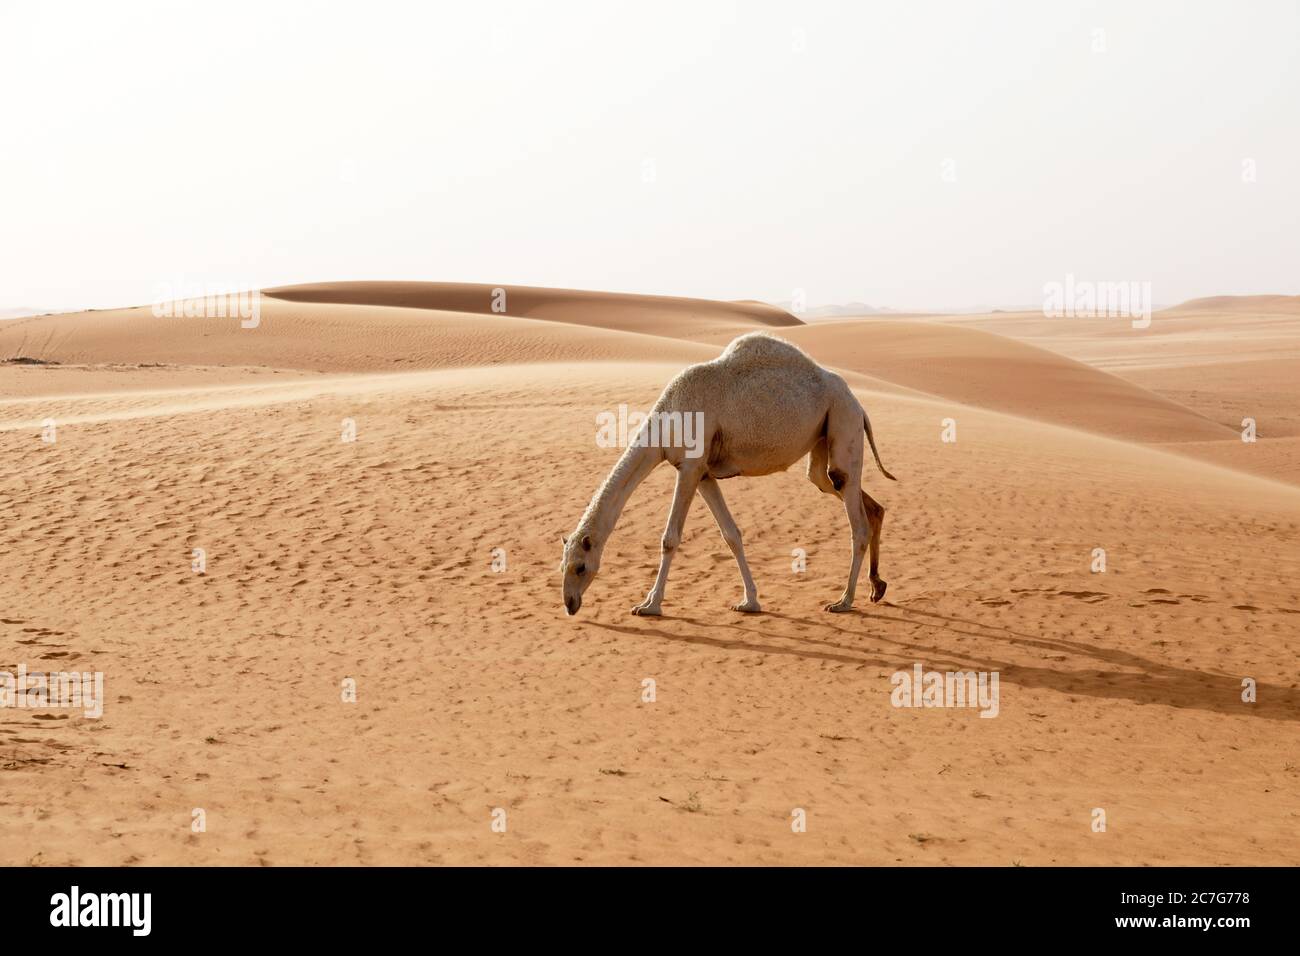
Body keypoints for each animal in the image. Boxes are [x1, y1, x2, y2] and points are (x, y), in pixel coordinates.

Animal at [560, 332, 896, 617]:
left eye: (580, 566)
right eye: (561, 565)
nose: (569, 604)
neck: (666, 423)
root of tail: (859, 404)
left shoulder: (690, 467)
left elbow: (670, 538)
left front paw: (649, 605)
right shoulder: (703, 473)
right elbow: (731, 534)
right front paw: (750, 602)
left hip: (843, 418)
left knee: (854, 514)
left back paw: (843, 601)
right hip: (823, 442)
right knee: (842, 489)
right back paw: (877, 586)